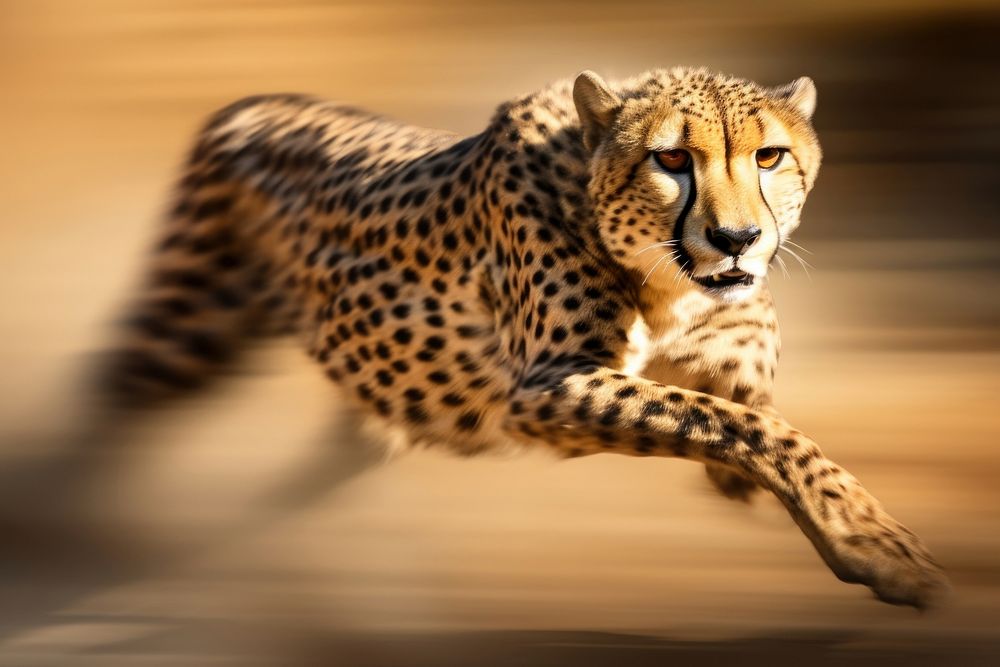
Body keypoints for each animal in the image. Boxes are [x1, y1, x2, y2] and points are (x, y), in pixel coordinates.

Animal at [28, 67, 951, 609]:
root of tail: (258, 96)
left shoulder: (701, 309)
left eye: (768, 157)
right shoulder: (549, 384)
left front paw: (742, 452)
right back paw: (60, 530)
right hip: (185, 330)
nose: (736, 237)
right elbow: (746, 425)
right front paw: (873, 541)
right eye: (671, 160)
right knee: (100, 400)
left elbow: (753, 344)